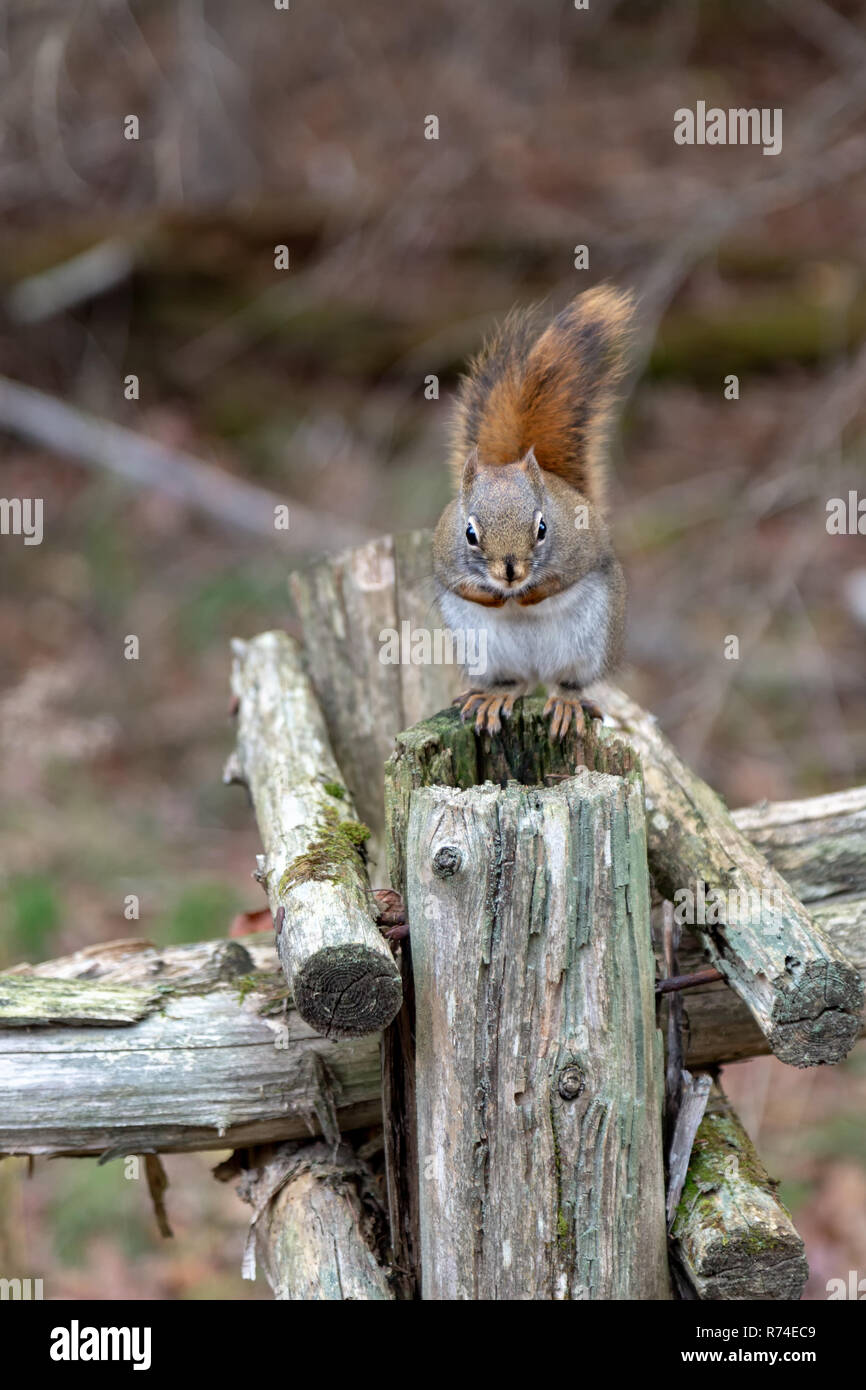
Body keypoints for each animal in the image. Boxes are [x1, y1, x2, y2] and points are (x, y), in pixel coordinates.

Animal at [432, 285, 633, 740]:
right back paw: (494, 697)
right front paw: (491, 596)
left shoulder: (579, 549)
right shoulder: (442, 556)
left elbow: (562, 579)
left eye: (542, 528)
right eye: (469, 533)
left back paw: (566, 703)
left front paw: (530, 595)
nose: (510, 574)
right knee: (514, 682)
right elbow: (459, 585)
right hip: (484, 651)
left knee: (567, 682)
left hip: (590, 644)